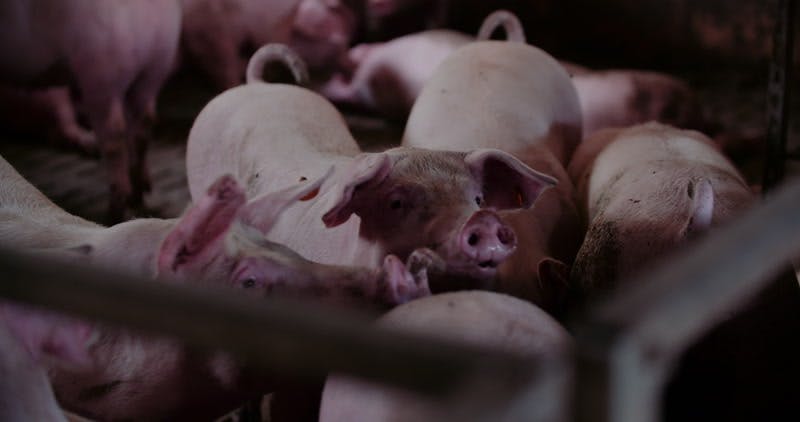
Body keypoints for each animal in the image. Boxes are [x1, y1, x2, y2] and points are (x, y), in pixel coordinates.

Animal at [0, 0, 182, 221]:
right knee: (142, 126)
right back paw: (138, 196)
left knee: (113, 135)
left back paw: (115, 213)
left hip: (100, 70)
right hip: (157, 66)